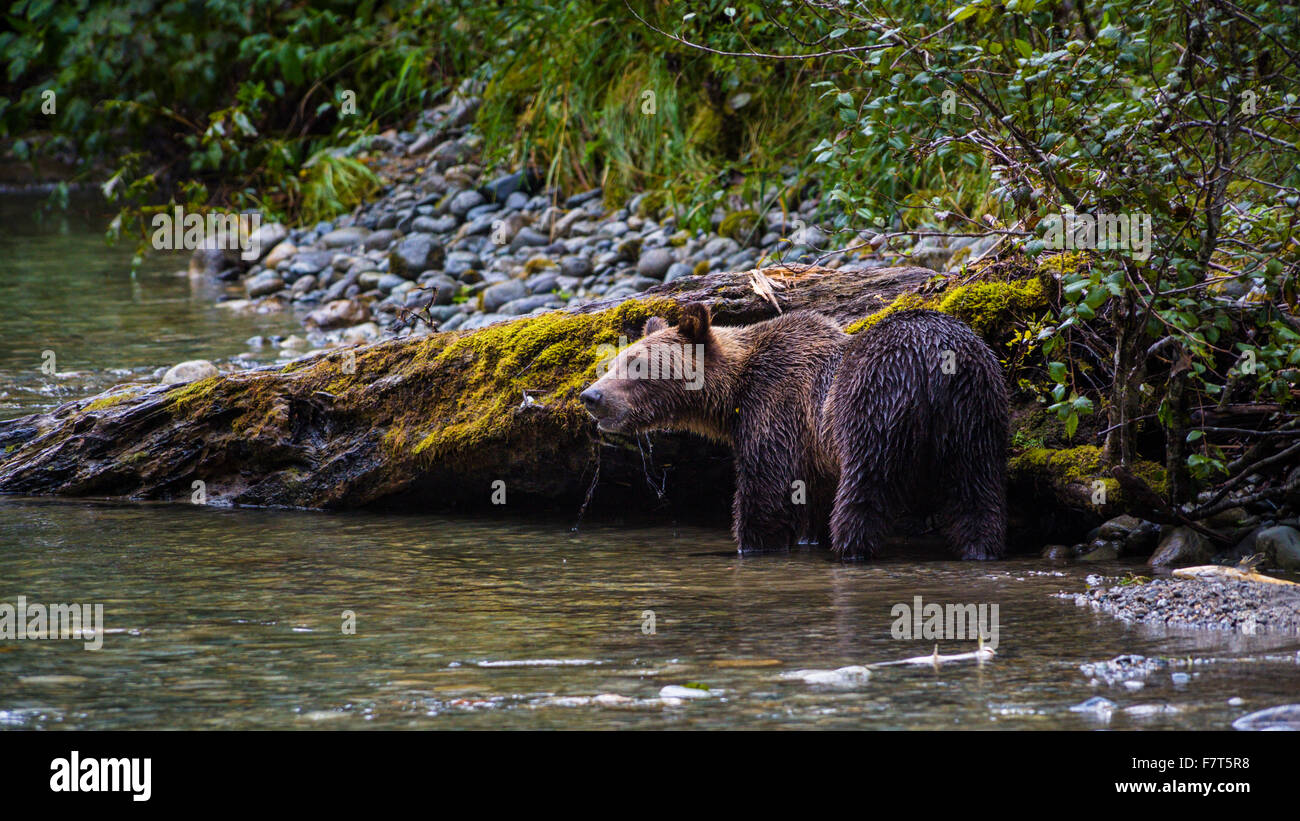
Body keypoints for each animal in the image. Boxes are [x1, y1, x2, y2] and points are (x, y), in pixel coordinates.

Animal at [579, 303, 1008, 560]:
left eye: (637, 364)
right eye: (615, 360)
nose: (591, 396)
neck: (734, 395)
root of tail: (938, 362)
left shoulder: (777, 410)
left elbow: (765, 491)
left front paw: (750, 545)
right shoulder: (813, 451)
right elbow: (808, 501)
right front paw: (805, 538)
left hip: (873, 402)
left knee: (864, 490)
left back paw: (850, 548)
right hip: (976, 412)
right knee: (976, 491)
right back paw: (980, 548)